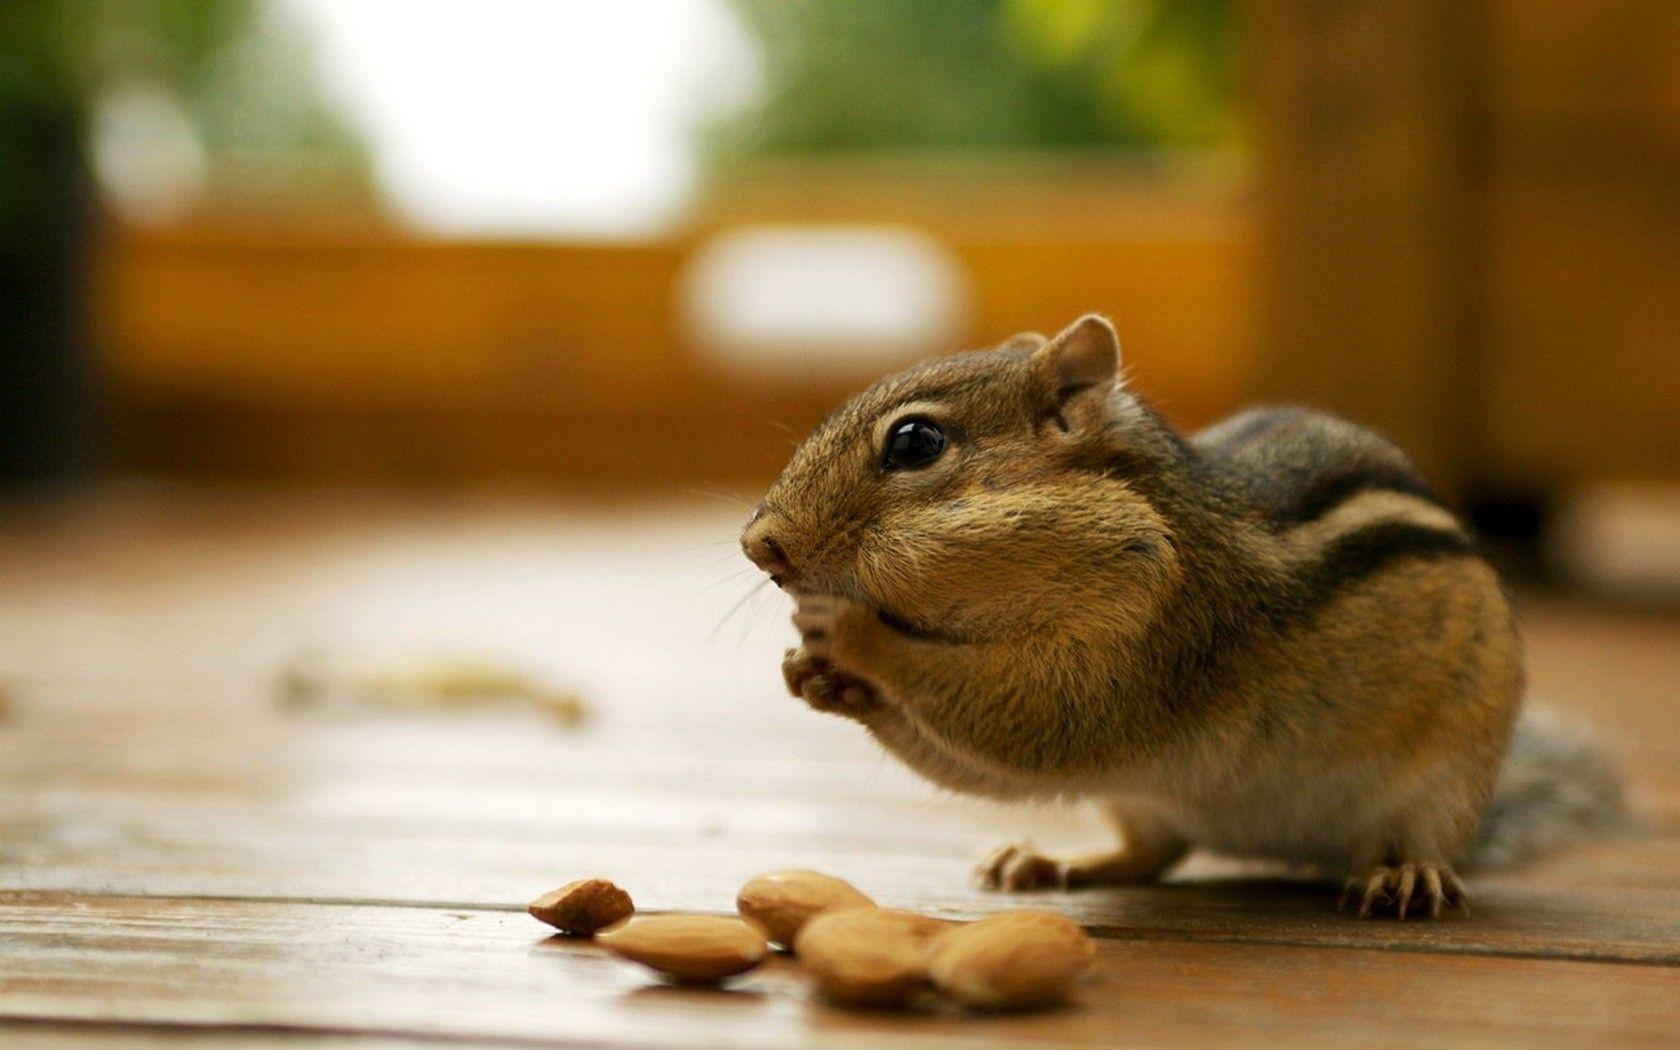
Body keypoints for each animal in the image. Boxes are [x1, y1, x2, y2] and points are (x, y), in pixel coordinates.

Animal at [741, 314, 1625, 919]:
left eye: (916, 443)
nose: (760, 546)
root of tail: (1296, 852)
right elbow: (978, 756)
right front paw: (814, 679)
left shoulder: (1149, 640)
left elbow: (1031, 719)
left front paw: (849, 637)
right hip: (1142, 798)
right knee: (1153, 855)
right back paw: (1055, 863)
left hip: (1449, 776)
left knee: (1430, 843)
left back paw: (1410, 874)